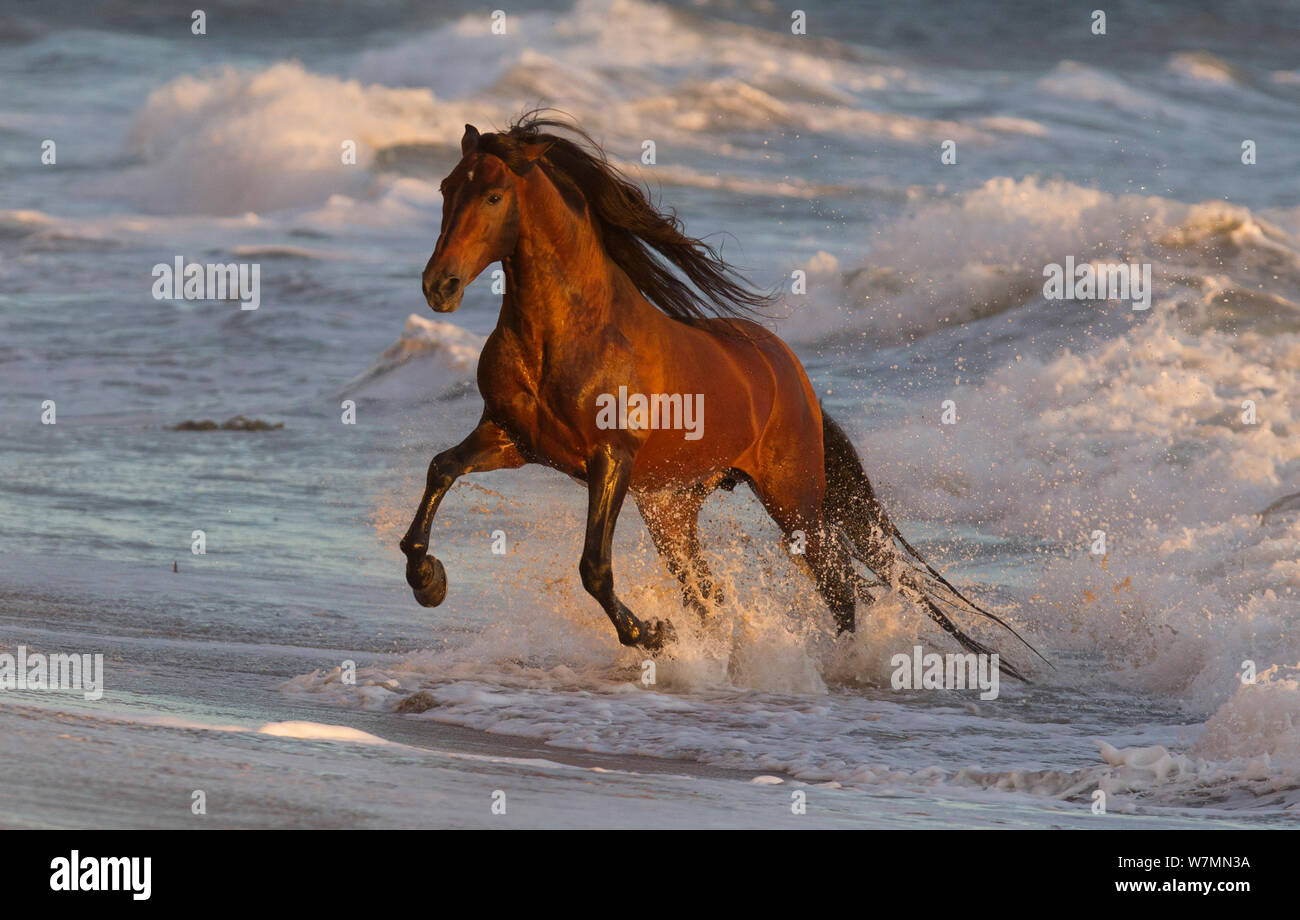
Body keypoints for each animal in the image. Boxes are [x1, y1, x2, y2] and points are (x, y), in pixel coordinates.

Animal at [398, 111, 1045, 681]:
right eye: (447, 188)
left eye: (493, 197)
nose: (438, 286)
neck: (571, 332)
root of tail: (793, 375)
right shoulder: (512, 437)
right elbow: (440, 470)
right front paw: (428, 578)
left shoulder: (610, 458)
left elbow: (594, 568)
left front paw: (652, 634)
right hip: (673, 510)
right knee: (711, 593)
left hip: (794, 503)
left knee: (838, 587)